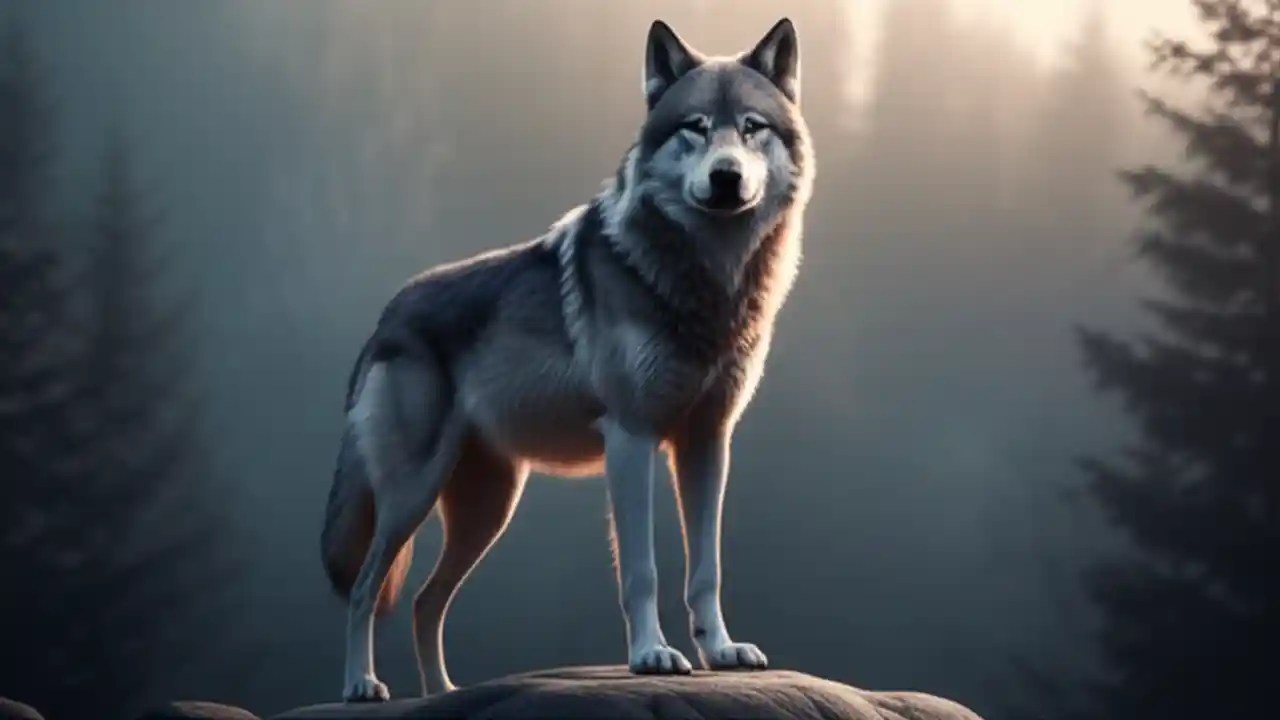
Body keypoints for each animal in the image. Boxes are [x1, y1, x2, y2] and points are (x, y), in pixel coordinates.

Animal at [320, 17, 814, 702]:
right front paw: (651, 654)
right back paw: (362, 685)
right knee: (367, 587)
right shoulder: (632, 439)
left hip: (487, 510)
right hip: (409, 498)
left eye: (750, 127)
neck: (708, 280)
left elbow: (706, 567)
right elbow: (642, 569)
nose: (725, 178)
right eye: (693, 127)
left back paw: (444, 693)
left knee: (424, 601)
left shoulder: (708, 443)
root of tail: (386, 315)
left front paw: (720, 651)